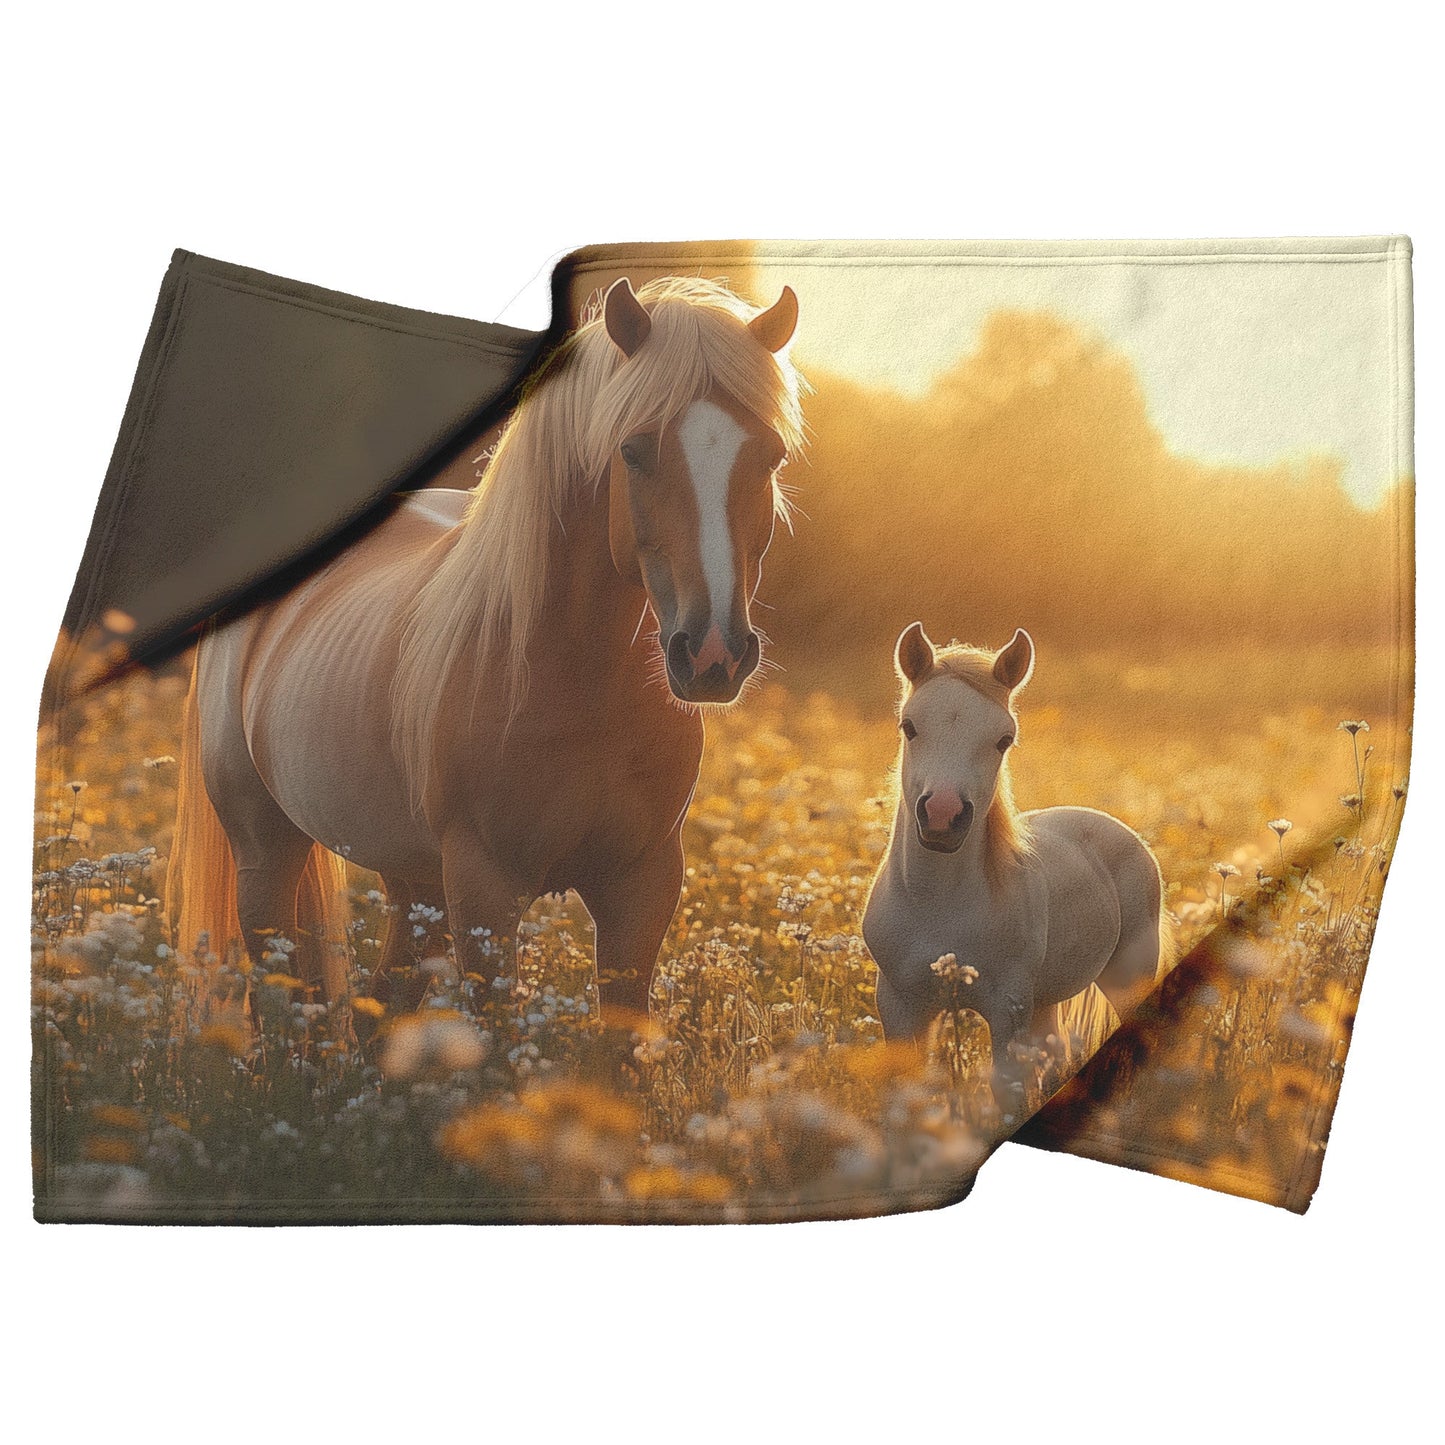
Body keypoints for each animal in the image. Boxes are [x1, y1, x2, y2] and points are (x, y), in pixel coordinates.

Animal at [167, 274, 804, 1014]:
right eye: (633, 450)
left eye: (770, 455)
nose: (711, 655)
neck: (572, 682)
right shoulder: (484, 892)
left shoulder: (642, 887)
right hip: (266, 853)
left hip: (414, 883)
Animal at [861, 622, 1168, 1114]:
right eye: (909, 726)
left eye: (1003, 739)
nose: (943, 815)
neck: (939, 903)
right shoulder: (899, 1006)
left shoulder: (1007, 1010)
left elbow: (1008, 1093)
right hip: (1044, 1003)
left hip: (1125, 980)